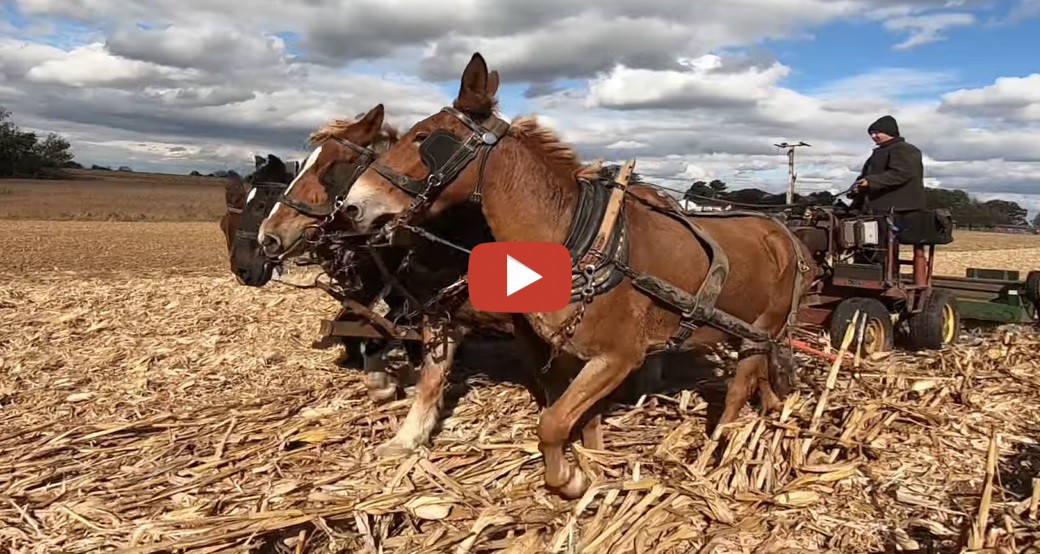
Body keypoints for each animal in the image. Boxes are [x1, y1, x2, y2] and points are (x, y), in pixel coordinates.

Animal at [338, 52, 820, 498]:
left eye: (424, 138)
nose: (353, 205)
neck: (579, 237)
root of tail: (784, 234)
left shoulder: (619, 357)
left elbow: (551, 422)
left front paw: (567, 479)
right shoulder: (571, 352)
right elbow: (577, 416)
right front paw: (590, 460)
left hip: (762, 329)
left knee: (739, 388)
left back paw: (719, 449)